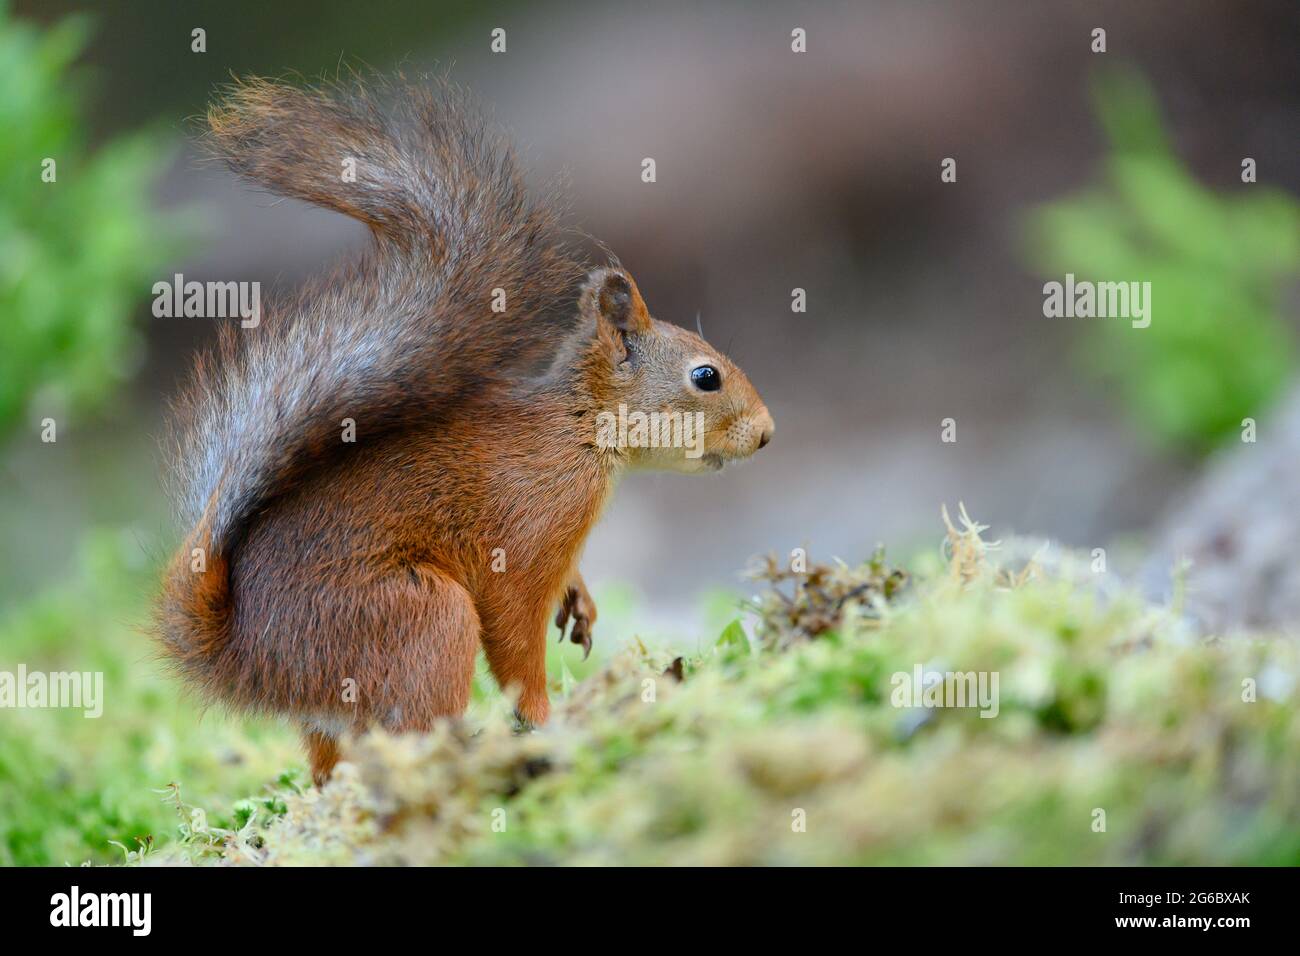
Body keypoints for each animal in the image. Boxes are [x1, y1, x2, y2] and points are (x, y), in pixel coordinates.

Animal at [155, 75, 774, 786]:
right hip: (420, 620)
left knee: (331, 765)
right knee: (416, 725)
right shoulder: (526, 533)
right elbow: (515, 636)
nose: (767, 434)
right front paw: (546, 719)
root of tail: (247, 664)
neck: (579, 430)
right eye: (706, 377)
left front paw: (581, 601)